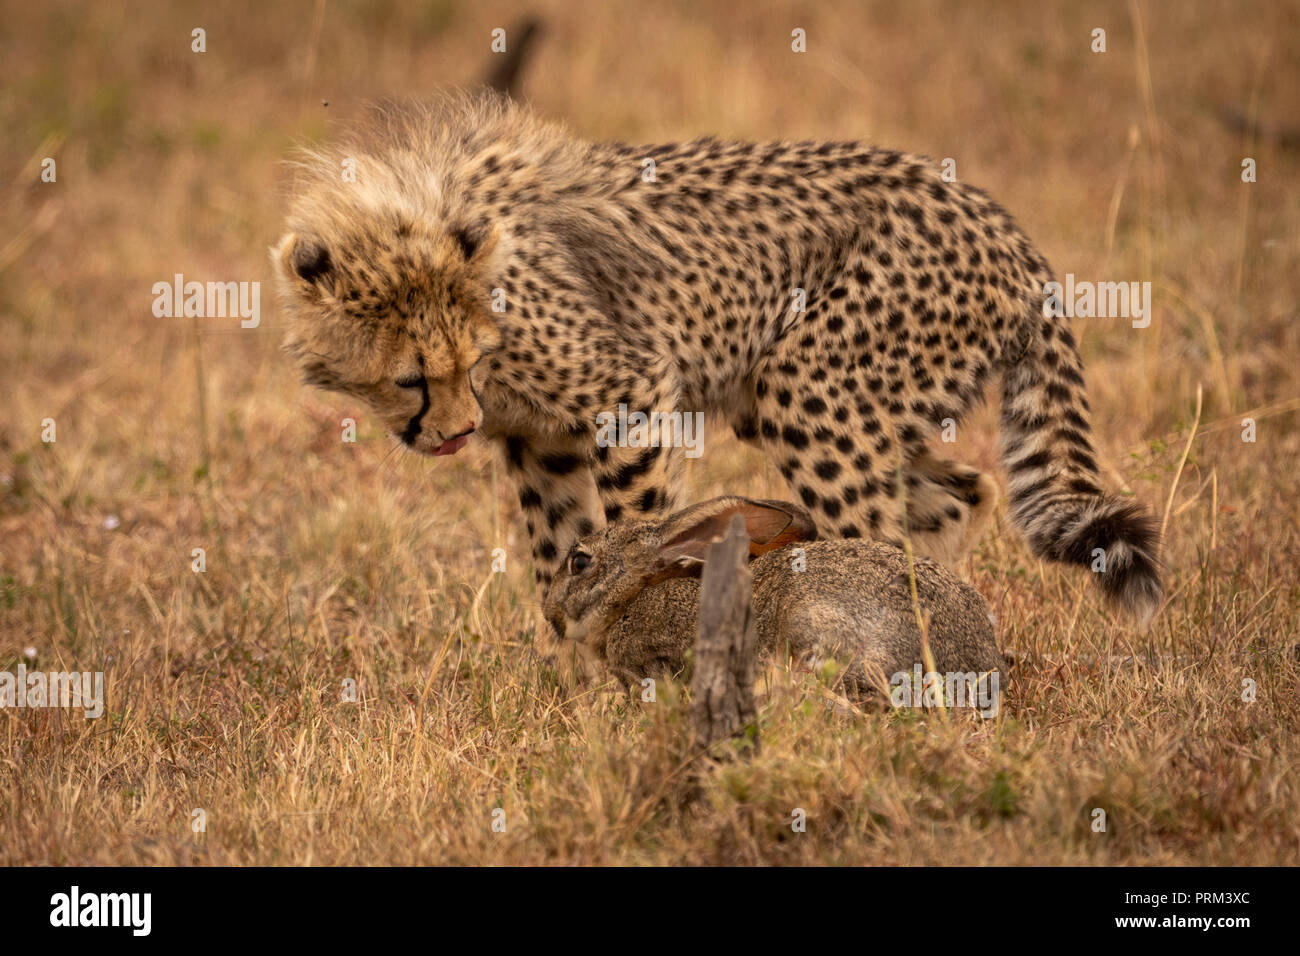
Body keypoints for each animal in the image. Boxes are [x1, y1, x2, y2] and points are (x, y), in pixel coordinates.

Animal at [272, 89, 1163, 628]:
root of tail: (998, 221)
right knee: (959, 496)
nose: (456, 431)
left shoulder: (626, 392)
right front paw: (570, 683)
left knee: (874, 525)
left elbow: (634, 528)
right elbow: (558, 549)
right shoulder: (538, 439)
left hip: (810, 390)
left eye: (470, 359)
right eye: (409, 379)